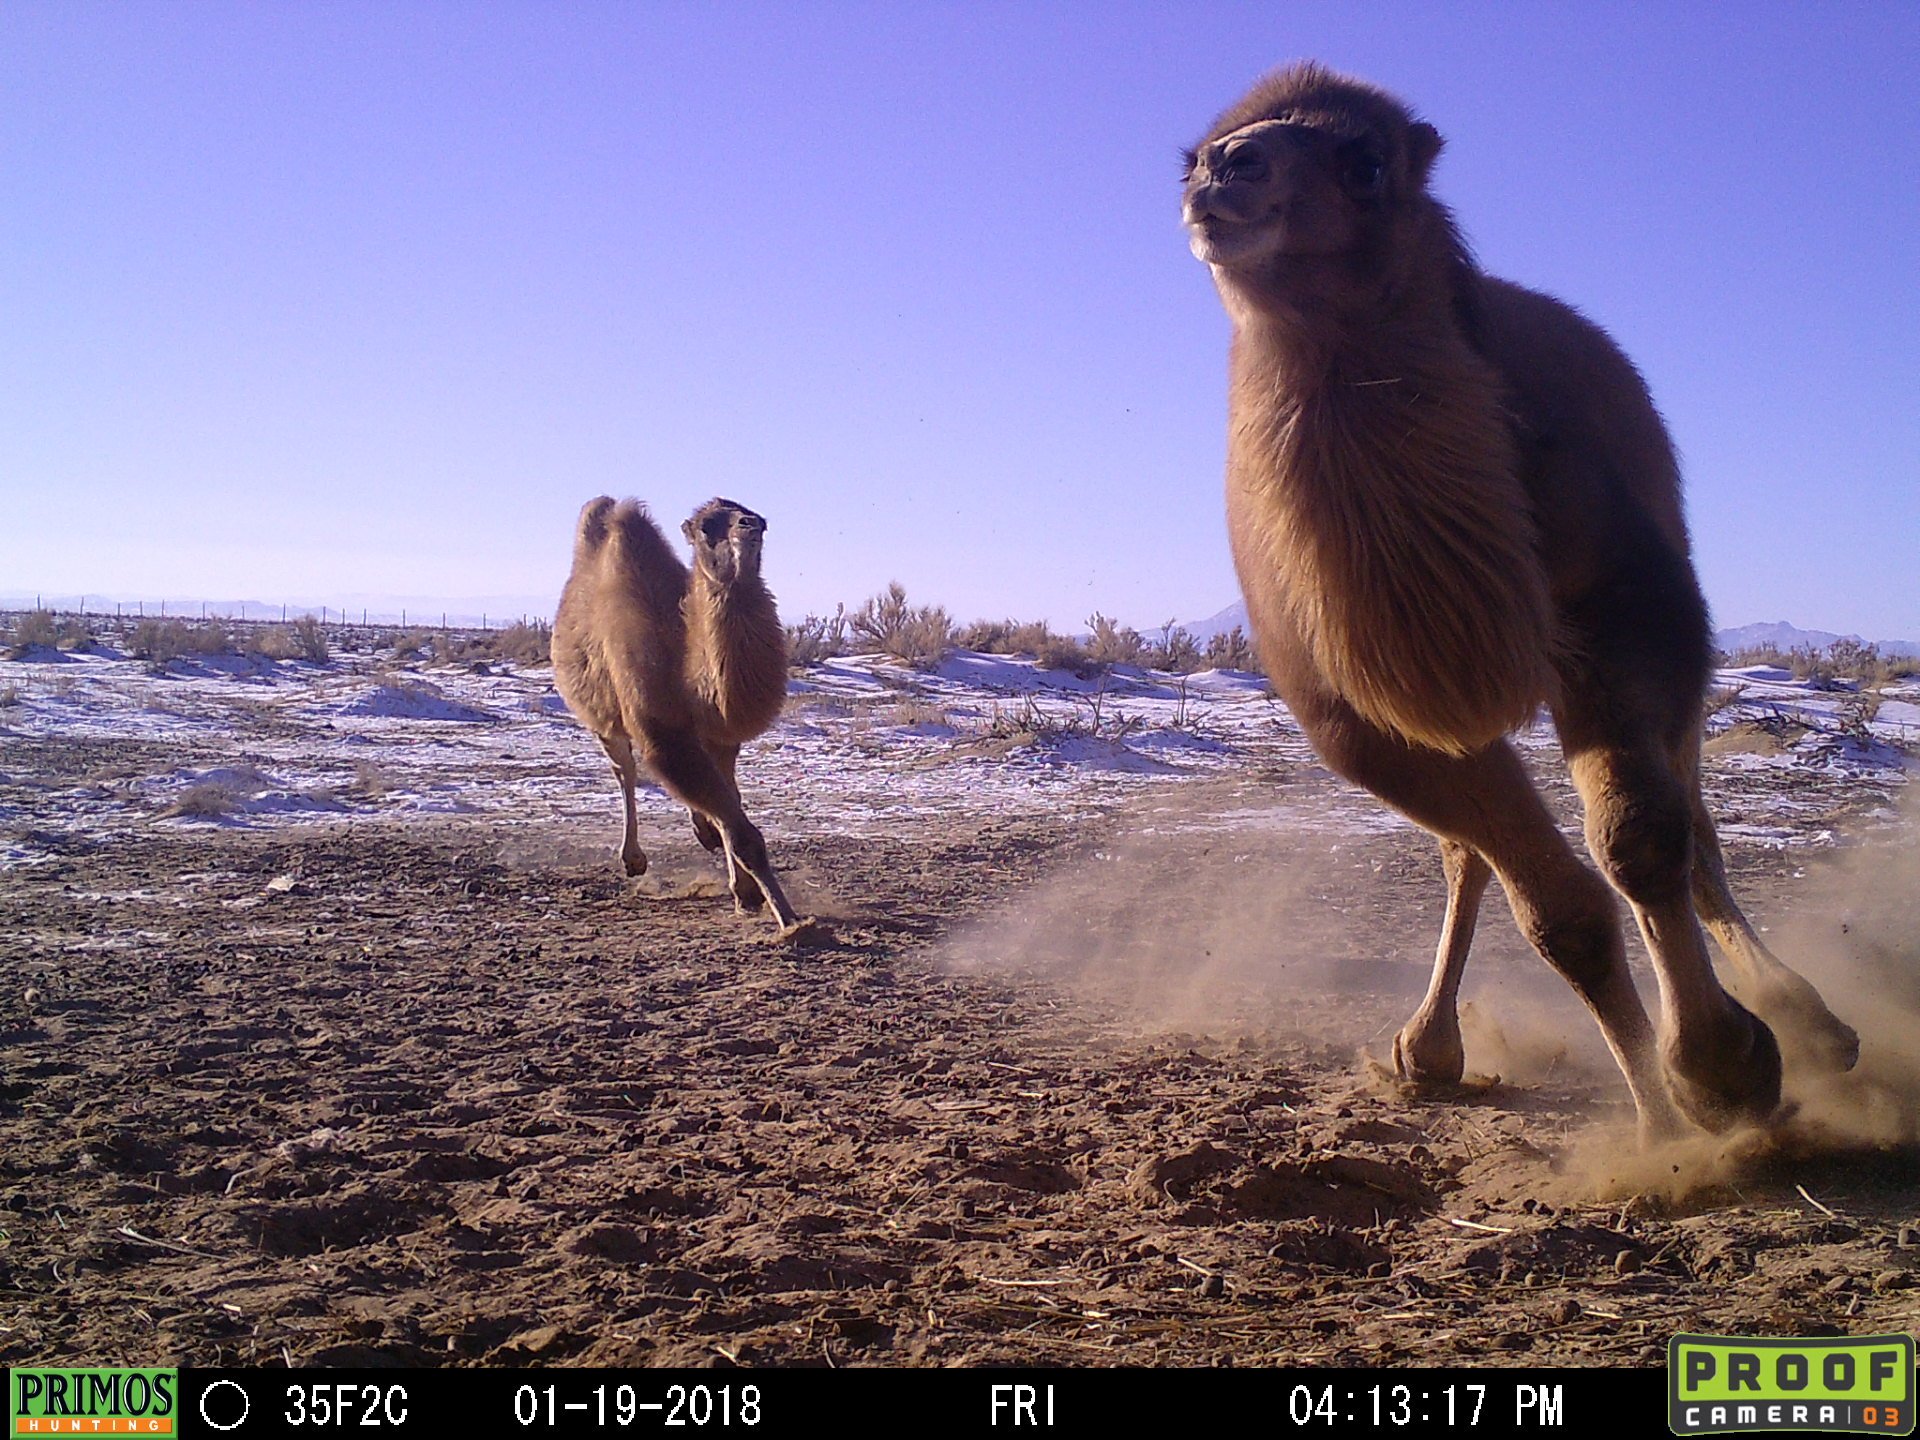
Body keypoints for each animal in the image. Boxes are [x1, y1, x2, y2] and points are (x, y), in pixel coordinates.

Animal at [552, 496, 815, 940]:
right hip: (600, 716)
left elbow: (731, 805)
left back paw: (703, 833)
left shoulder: (719, 737)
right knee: (624, 769)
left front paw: (747, 893)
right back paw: (633, 858)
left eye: (755, 515)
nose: (750, 524)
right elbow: (742, 832)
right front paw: (791, 919)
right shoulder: (662, 735)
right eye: (707, 528)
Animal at [1181, 63, 1856, 1136]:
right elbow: (1558, 908)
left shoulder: (1624, 617)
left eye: (1365, 161)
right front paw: (1666, 1128)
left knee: (1696, 828)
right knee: (1474, 858)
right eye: (1192, 156)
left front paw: (1726, 1070)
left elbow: (1643, 841)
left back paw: (1812, 1022)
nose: (1225, 169)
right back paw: (1428, 1047)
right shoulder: (1367, 724)